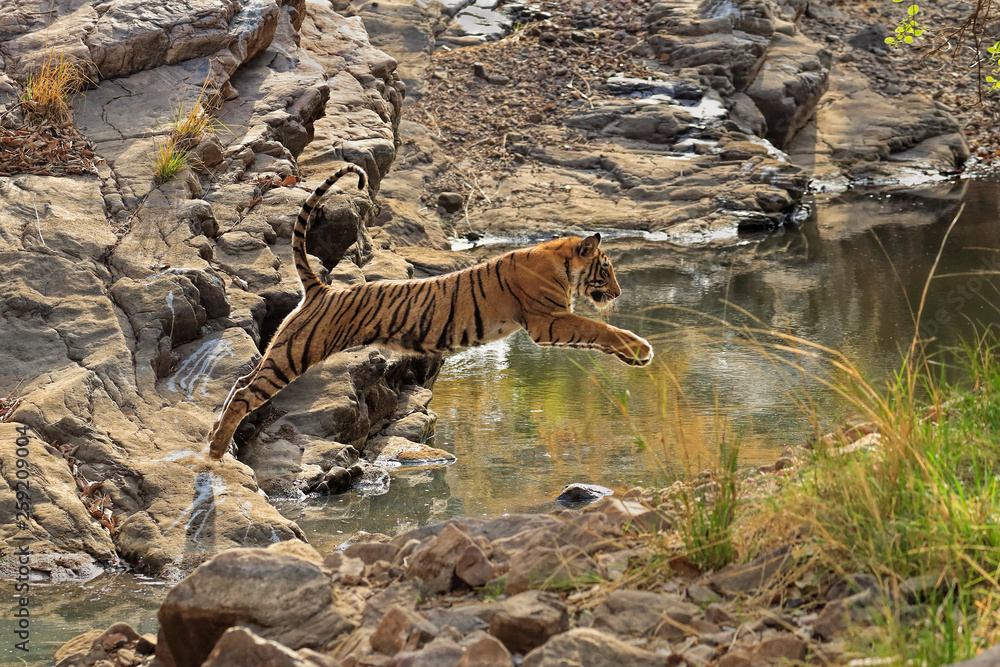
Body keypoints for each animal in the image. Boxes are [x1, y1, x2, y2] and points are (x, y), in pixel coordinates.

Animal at [207, 164, 653, 460]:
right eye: (607, 269)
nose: (618, 292)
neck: (561, 263)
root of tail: (321, 288)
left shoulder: (553, 321)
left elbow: (594, 334)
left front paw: (630, 356)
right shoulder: (548, 321)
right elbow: (596, 328)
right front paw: (639, 349)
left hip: (283, 349)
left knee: (241, 383)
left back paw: (217, 436)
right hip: (296, 352)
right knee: (246, 392)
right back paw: (215, 448)